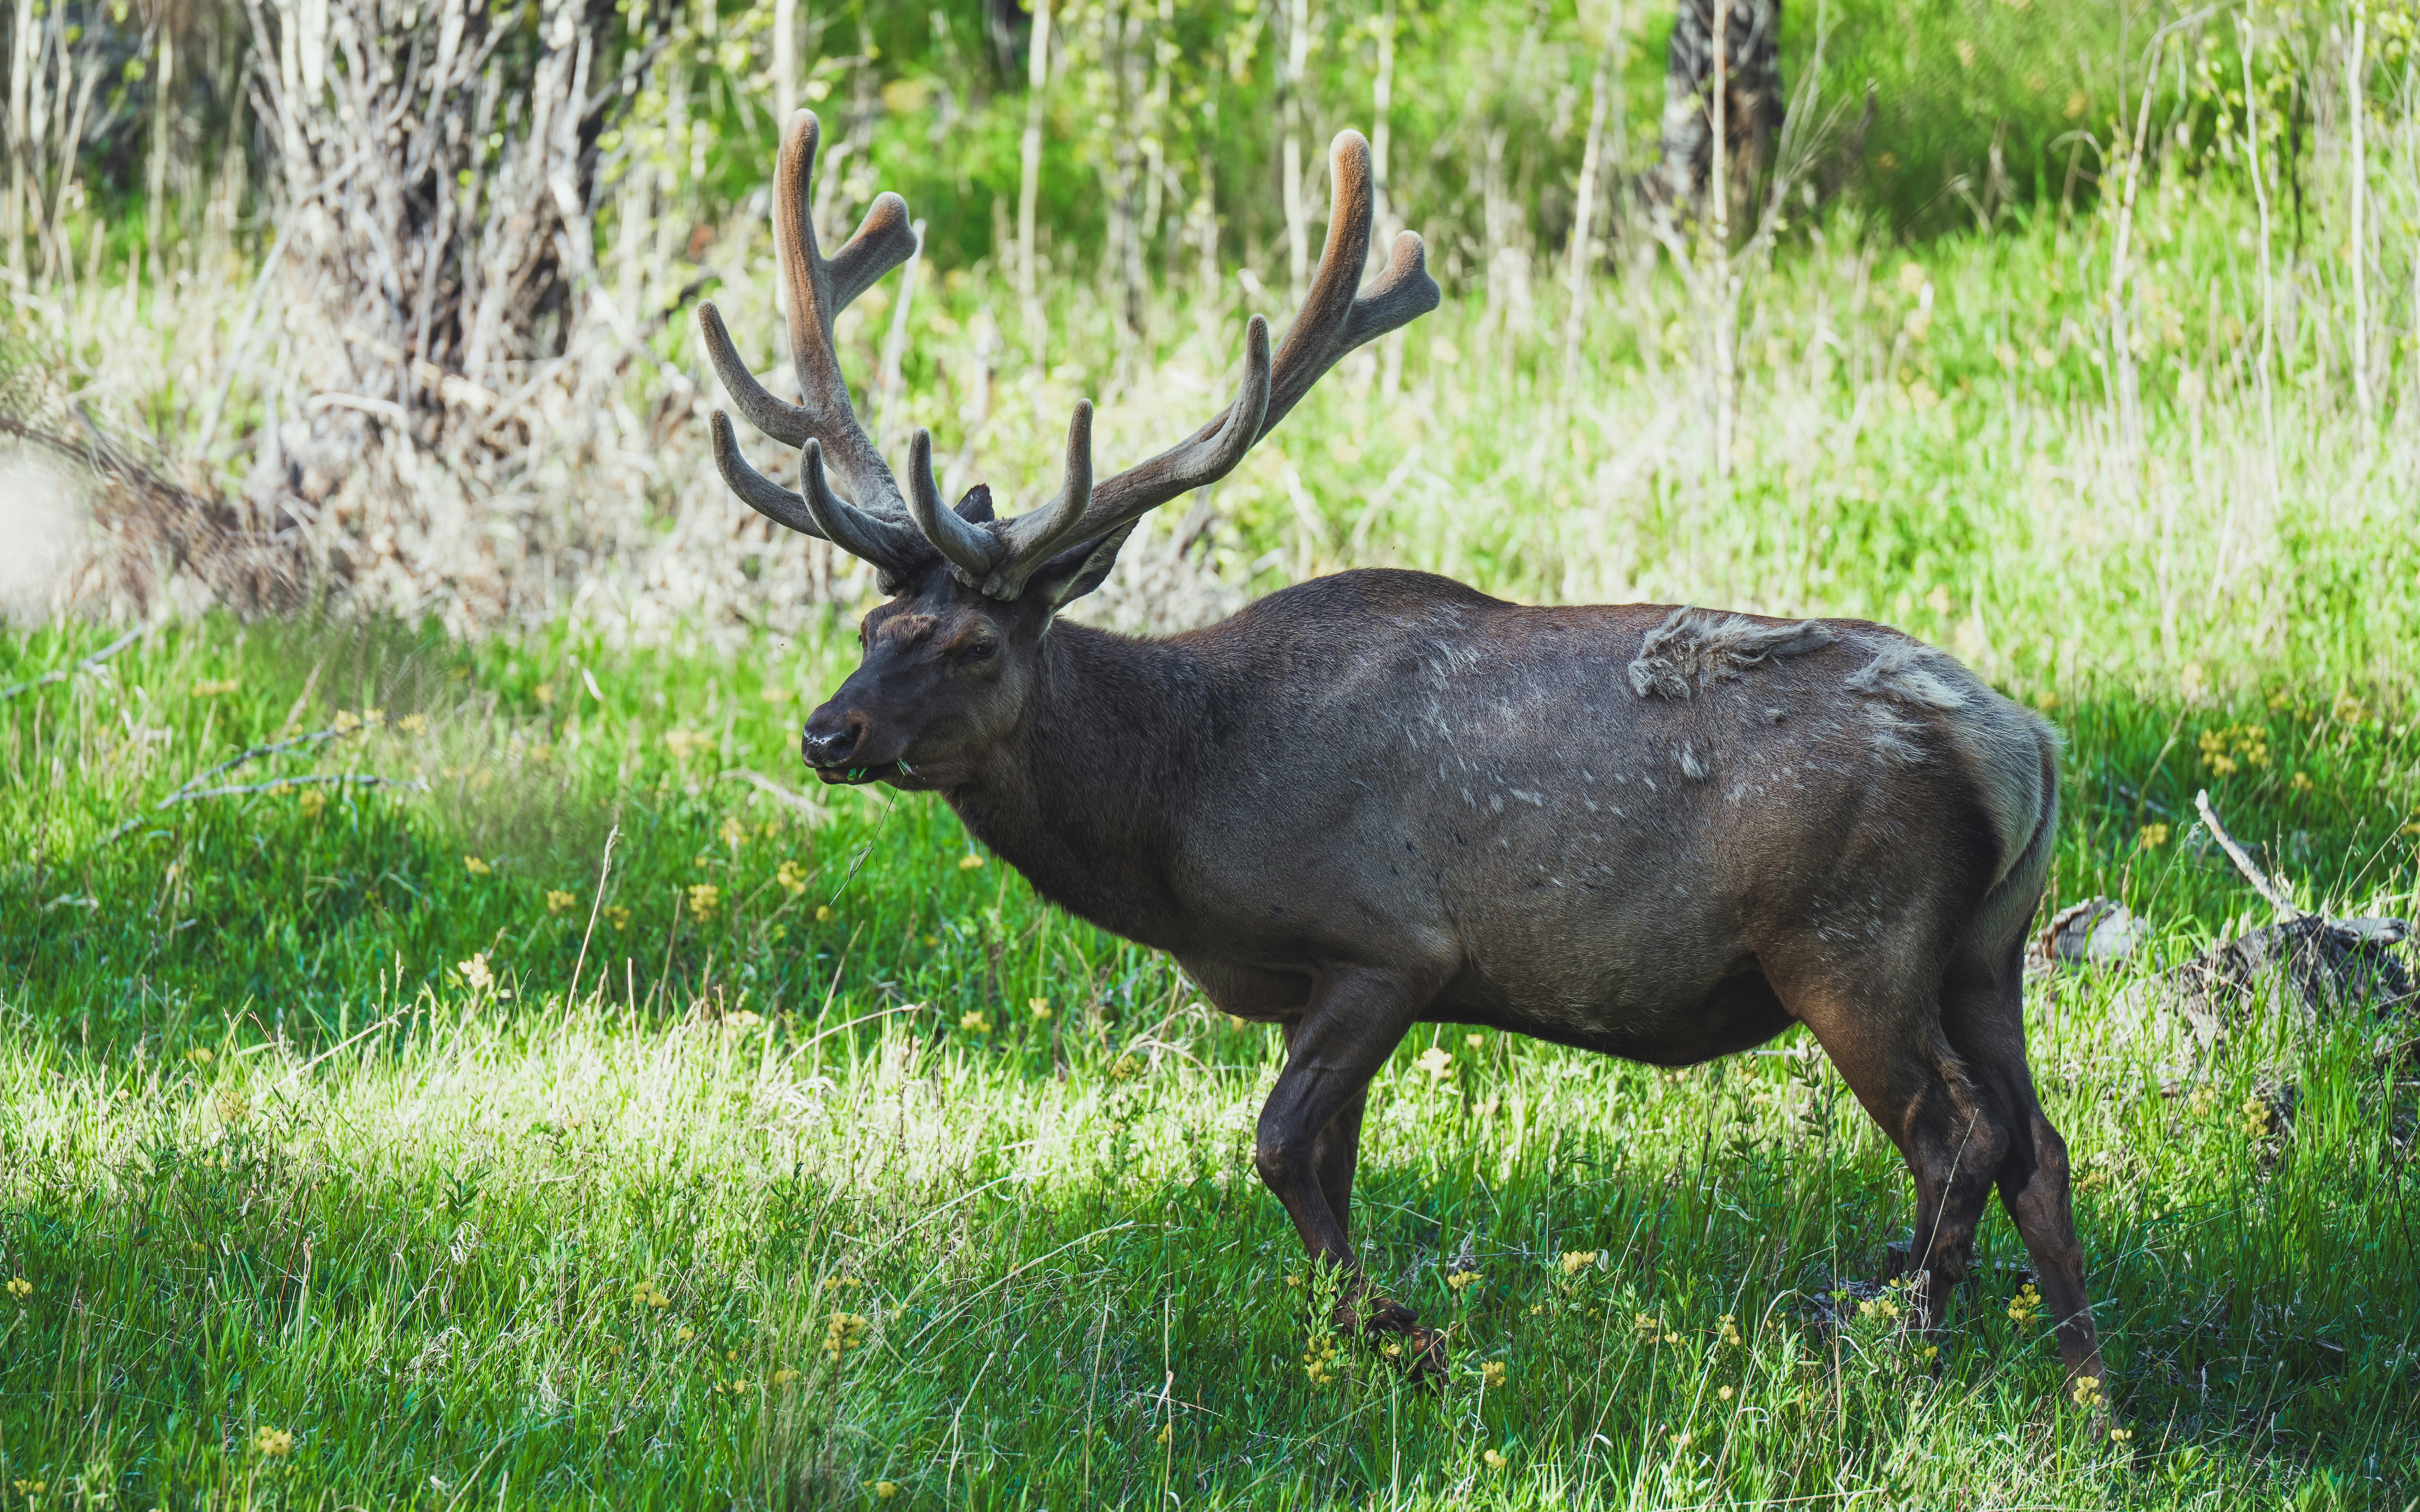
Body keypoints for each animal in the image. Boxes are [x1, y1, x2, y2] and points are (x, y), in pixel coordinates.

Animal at [698, 110, 2103, 1391]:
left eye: (971, 645)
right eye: (870, 623)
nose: (828, 732)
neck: (1173, 810)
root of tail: (2019, 741)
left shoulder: (1389, 941)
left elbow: (1277, 1145)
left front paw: (1406, 1335)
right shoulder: (1326, 982)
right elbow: (1330, 1161)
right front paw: (1363, 1340)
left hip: (1847, 938)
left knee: (1956, 1136)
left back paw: (1902, 1343)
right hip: (1980, 951)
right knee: (2037, 1142)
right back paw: (2087, 1394)